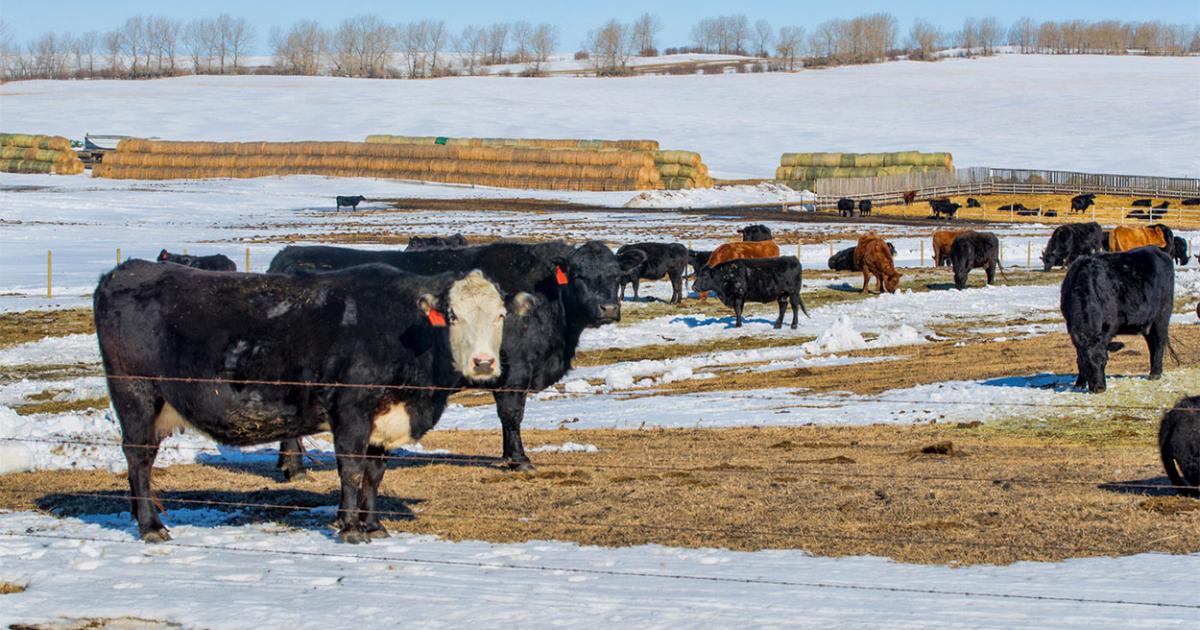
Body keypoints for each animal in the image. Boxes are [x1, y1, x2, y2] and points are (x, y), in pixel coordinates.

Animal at [94, 260, 509, 543]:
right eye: (453, 315)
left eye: (501, 315)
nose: (484, 362)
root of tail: (125, 271)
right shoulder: (352, 411)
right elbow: (352, 470)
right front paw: (351, 528)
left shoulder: (384, 418)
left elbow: (375, 474)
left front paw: (374, 525)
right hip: (135, 395)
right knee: (138, 458)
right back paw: (151, 526)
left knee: (143, 460)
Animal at [267, 241, 645, 478]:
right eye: (579, 275)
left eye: (616, 275)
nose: (608, 308)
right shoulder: (514, 370)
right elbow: (511, 414)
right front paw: (519, 459)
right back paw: (295, 468)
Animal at [1060, 246, 1174, 393]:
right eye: (1087, 364)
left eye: (1105, 361)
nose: (1100, 388)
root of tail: (1159, 250)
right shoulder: (1071, 327)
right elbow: (1079, 355)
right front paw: (1079, 383)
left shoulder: (1110, 325)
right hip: (1147, 322)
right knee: (1151, 343)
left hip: (1162, 315)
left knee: (1159, 341)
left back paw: (1155, 373)